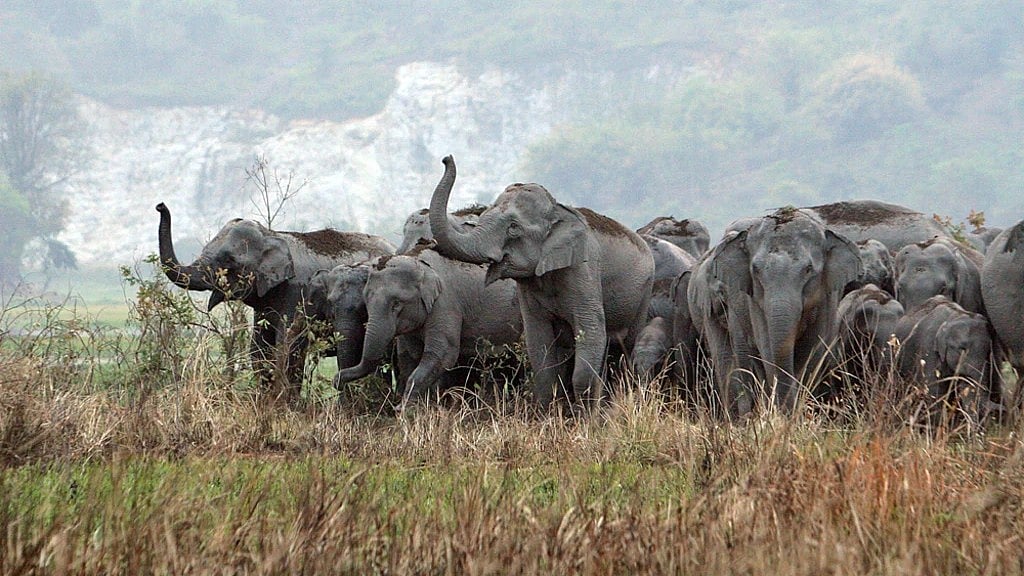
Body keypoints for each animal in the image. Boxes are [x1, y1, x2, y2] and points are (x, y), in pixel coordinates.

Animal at [156, 202, 394, 399]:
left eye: (228, 260)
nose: (160, 206)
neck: (271, 234)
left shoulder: (296, 294)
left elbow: (288, 345)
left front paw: (286, 407)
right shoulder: (265, 302)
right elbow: (259, 348)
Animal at [332, 244, 523, 403]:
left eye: (396, 304)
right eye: (366, 302)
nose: (335, 380)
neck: (419, 263)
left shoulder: (445, 304)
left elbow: (443, 354)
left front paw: (405, 411)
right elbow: (408, 356)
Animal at [427, 155, 654, 411]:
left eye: (513, 227)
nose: (446, 158)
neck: (558, 210)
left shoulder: (584, 270)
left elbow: (591, 331)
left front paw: (586, 418)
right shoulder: (528, 288)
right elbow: (539, 341)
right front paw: (550, 414)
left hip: (644, 293)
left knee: (626, 345)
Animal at [709, 207, 861, 411]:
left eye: (808, 269)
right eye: (755, 270)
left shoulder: (827, 297)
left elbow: (812, 349)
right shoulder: (754, 302)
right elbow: (767, 348)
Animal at [893, 295, 997, 428]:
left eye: (988, 350)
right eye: (962, 349)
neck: (955, 316)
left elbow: (966, 388)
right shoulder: (928, 349)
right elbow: (934, 392)